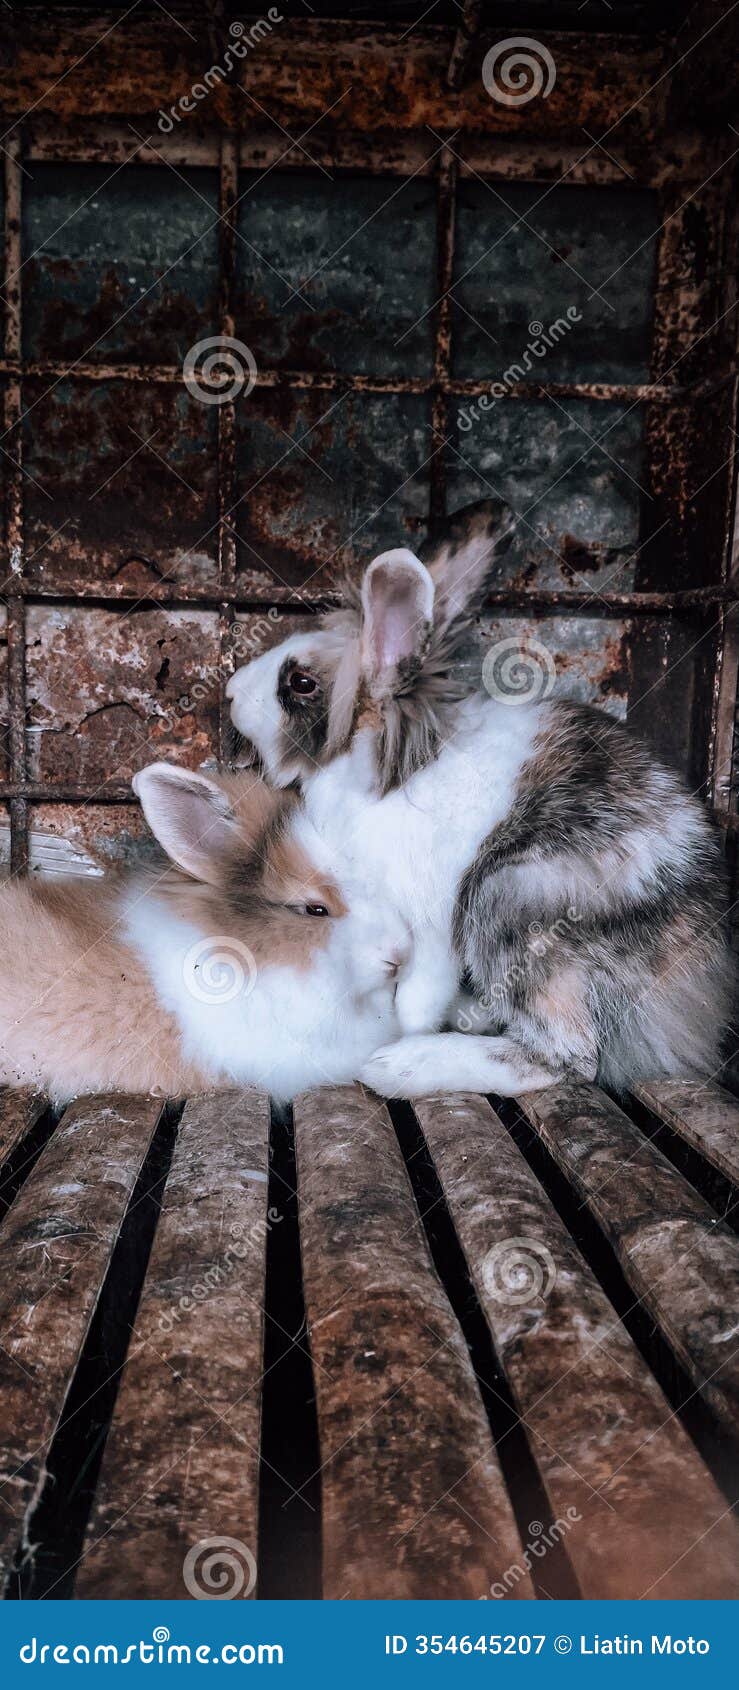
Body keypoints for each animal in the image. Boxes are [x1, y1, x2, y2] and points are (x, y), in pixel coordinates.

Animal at [226, 499, 731, 1099]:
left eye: (299, 683)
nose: (229, 693)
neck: (385, 768)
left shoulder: (430, 923)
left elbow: (417, 995)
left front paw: (399, 1037)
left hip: (513, 898)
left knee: (567, 1056)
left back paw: (406, 1065)